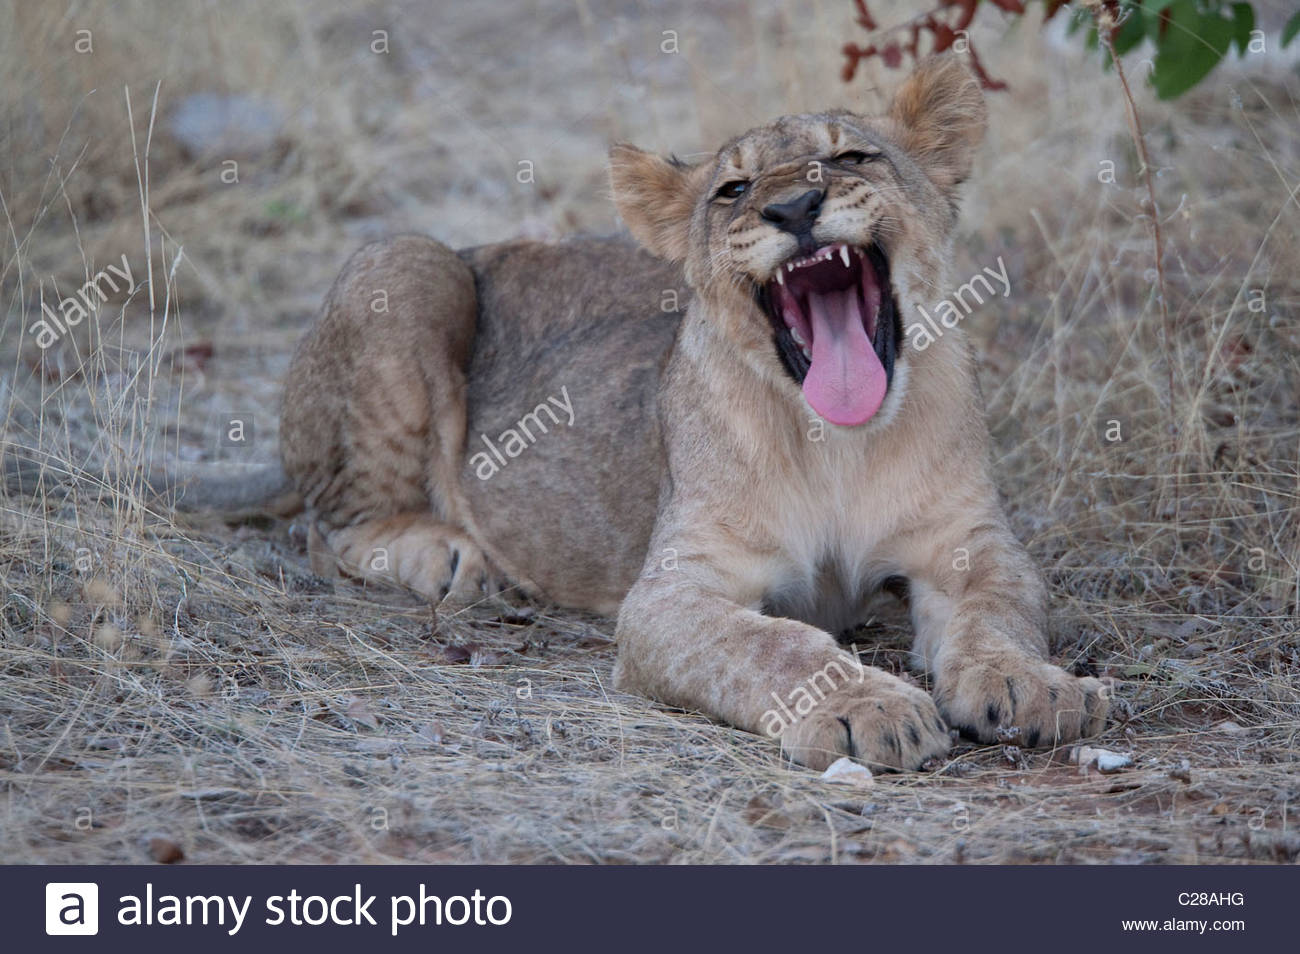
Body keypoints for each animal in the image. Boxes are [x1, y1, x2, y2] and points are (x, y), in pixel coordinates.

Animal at [11, 55, 1107, 770]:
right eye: (733, 187)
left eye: (852, 158)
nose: (794, 210)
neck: (834, 440)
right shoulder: (668, 595)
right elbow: (778, 643)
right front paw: (866, 709)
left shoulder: (967, 544)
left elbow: (995, 613)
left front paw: (1033, 688)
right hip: (407, 265)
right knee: (328, 525)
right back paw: (452, 559)